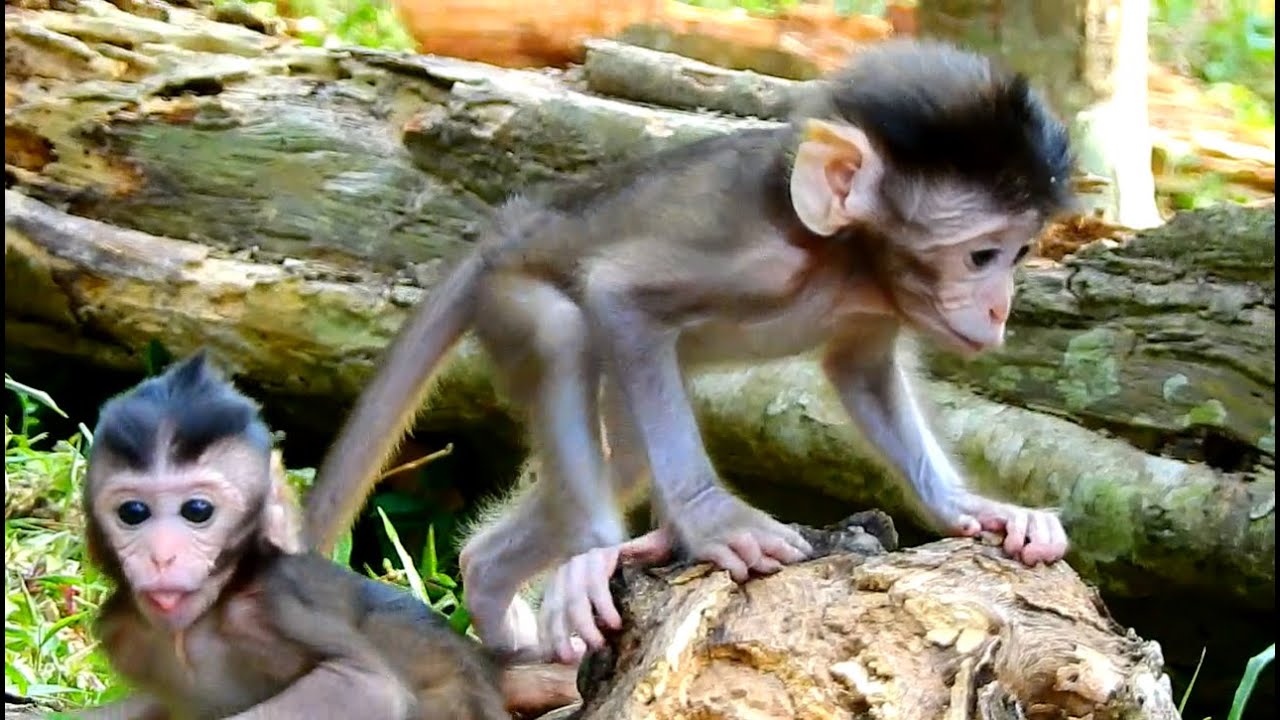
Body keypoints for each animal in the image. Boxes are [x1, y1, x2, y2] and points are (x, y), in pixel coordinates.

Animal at [73, 352, 576, 720]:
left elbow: (366, 686)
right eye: (133, 513)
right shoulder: (122, 631)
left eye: (198, 511)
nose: (161, 557)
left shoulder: (272, 603)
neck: (199, 622)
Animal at [303, 38, 1077, 667]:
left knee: (626, 458)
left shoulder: (874, 306)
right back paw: (594, 556)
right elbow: (620, 294)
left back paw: (493, 579)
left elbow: (859, 372)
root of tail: (513, 227)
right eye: (981, 256)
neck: (842, 260)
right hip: (511, 297)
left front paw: (973, 507)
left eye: (1019, 253)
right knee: (562, 331)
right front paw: (713, 523)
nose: (1000, 307)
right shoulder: (756, 259)